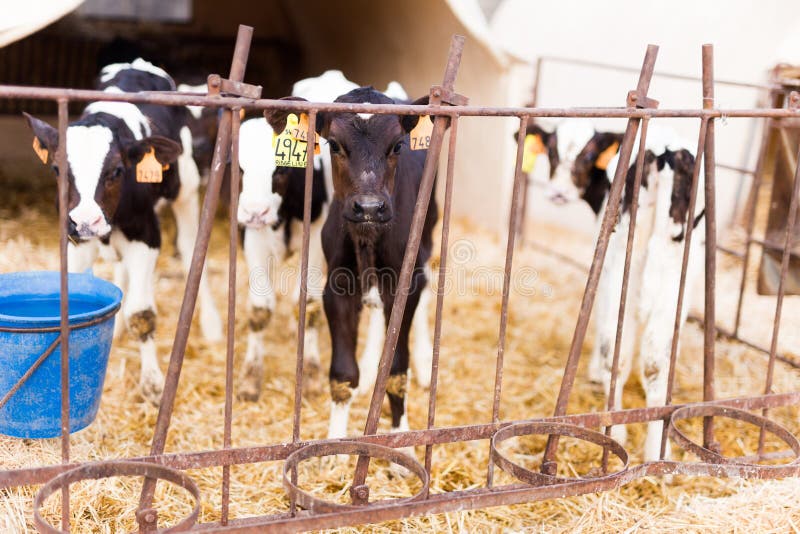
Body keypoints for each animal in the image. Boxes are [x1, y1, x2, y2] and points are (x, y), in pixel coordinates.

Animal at [24, 58, 222, 404]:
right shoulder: (75, 242)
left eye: (116, 171)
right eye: (58, 170)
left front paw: (153, 383)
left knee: (190, 251)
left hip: (186, 190)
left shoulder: (146, 235)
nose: (86, 220)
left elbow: (141, 314)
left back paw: (211, 325)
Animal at [264, 86, 440, 446]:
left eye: (398, 145)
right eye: (334, 144)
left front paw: (401, 437)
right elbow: (343, 374)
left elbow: (397, 369)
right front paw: (335, 444)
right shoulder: (338, 285)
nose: (369, 207)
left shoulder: (406, 281)